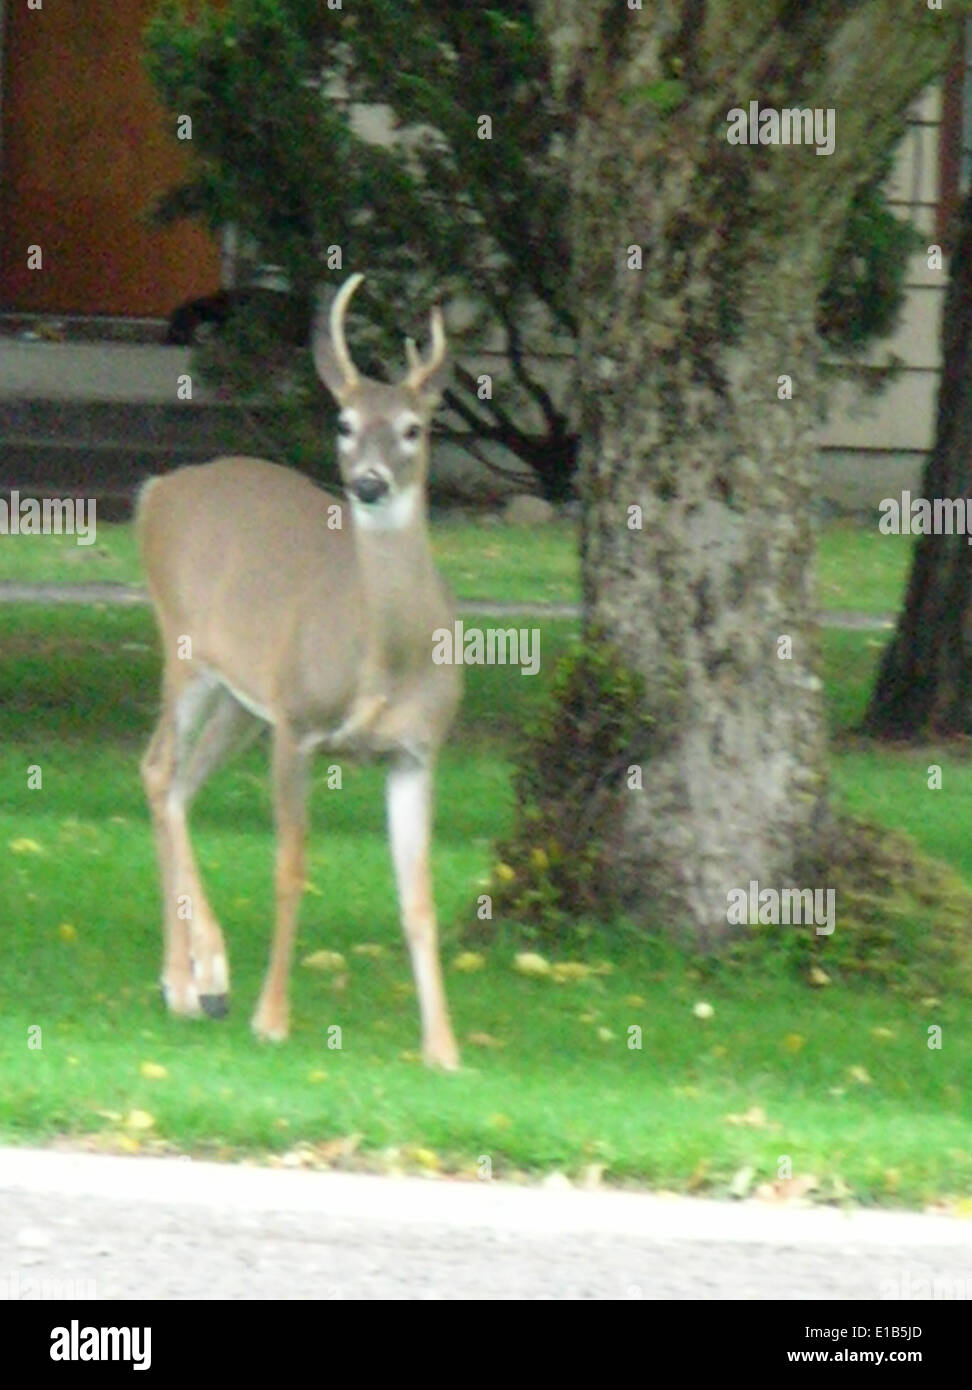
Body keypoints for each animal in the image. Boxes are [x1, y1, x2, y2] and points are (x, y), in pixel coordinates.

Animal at [137, 273, 462, 1069]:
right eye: (343, 423)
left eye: (414, 428)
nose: (369, 483)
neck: (384, 663)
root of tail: (157, 489)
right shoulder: (299, 724)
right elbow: (289, 870)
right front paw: (272, 1018)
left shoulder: (417, 751)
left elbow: (418, 897)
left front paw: (443, 1047)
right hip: (186, 651)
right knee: (158, 769)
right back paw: (194, 982)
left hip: (241, 699)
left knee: (178, 787)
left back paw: (198, 980)